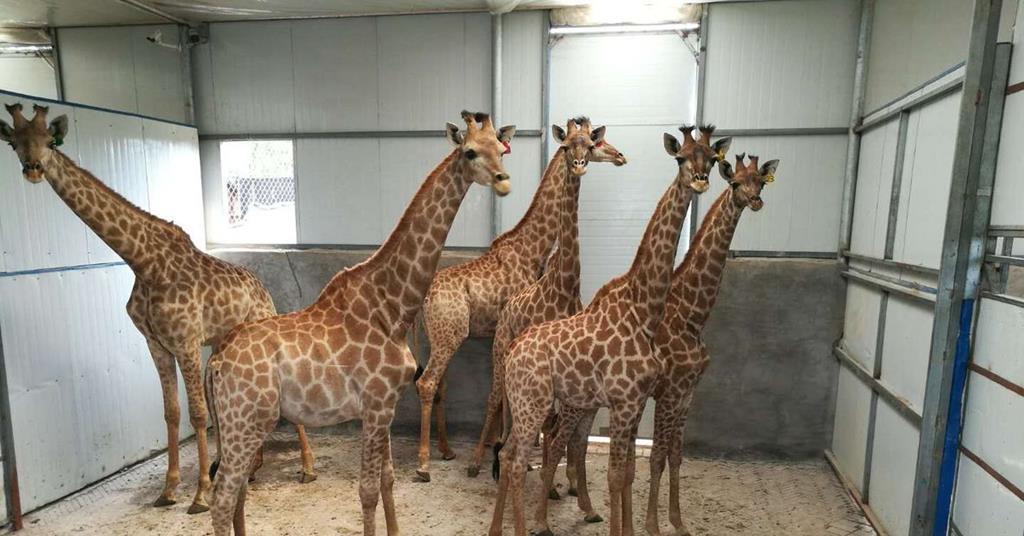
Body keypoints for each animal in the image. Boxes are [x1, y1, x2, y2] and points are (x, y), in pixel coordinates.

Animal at [0, 103, 315, 515]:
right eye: (14, 144)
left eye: (49, 141)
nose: (33, 168)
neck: (143, 262)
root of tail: (261, 286)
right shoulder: (156, 343)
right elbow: (172, 413)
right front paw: (169, 490)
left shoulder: (185, 340)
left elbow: (197, 412)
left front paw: (199, 494)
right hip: (223, 340)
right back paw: (250, 467)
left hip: (254, 327)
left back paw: (306, 468)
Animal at [205, 111, 516, 536]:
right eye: (469, 152)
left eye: (501, 148)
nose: (504, 181)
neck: (391, 308)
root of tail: (215, 361)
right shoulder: (376, 404)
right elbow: (368, 491)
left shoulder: (384, 407)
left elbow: (388, 481)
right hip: (246, 420)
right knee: (222, 496)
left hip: (238, 424)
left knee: (237, 493)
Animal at [414, 116, 626, 481]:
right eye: (597, 143)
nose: (620, 156)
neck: (533, 248)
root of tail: (423, 299)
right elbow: (502, 396)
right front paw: (499, 453)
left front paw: (497, 450)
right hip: (449, 336)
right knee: (427, 383)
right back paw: (424, 464)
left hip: (437, 337)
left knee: (438, 386)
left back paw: (446, 451)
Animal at [488, 126, 730, 536]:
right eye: (680, 158)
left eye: (711, 159)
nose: (700, 180)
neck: (643, 312)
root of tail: (514, 350)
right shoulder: (627, 401)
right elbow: (618, 475)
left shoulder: (636, 403)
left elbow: (628, 472)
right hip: (533, 403)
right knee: (520, 458)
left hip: (532, 404)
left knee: (510, 454)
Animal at [643, 153, 778, 536]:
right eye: (735, 183)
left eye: (761, 183)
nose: (755, 201)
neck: (692, 316)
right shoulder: (670, 392)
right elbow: (656, 456)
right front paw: (652, 525)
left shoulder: (689, 393)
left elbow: (675, 455)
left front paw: (678, 521)